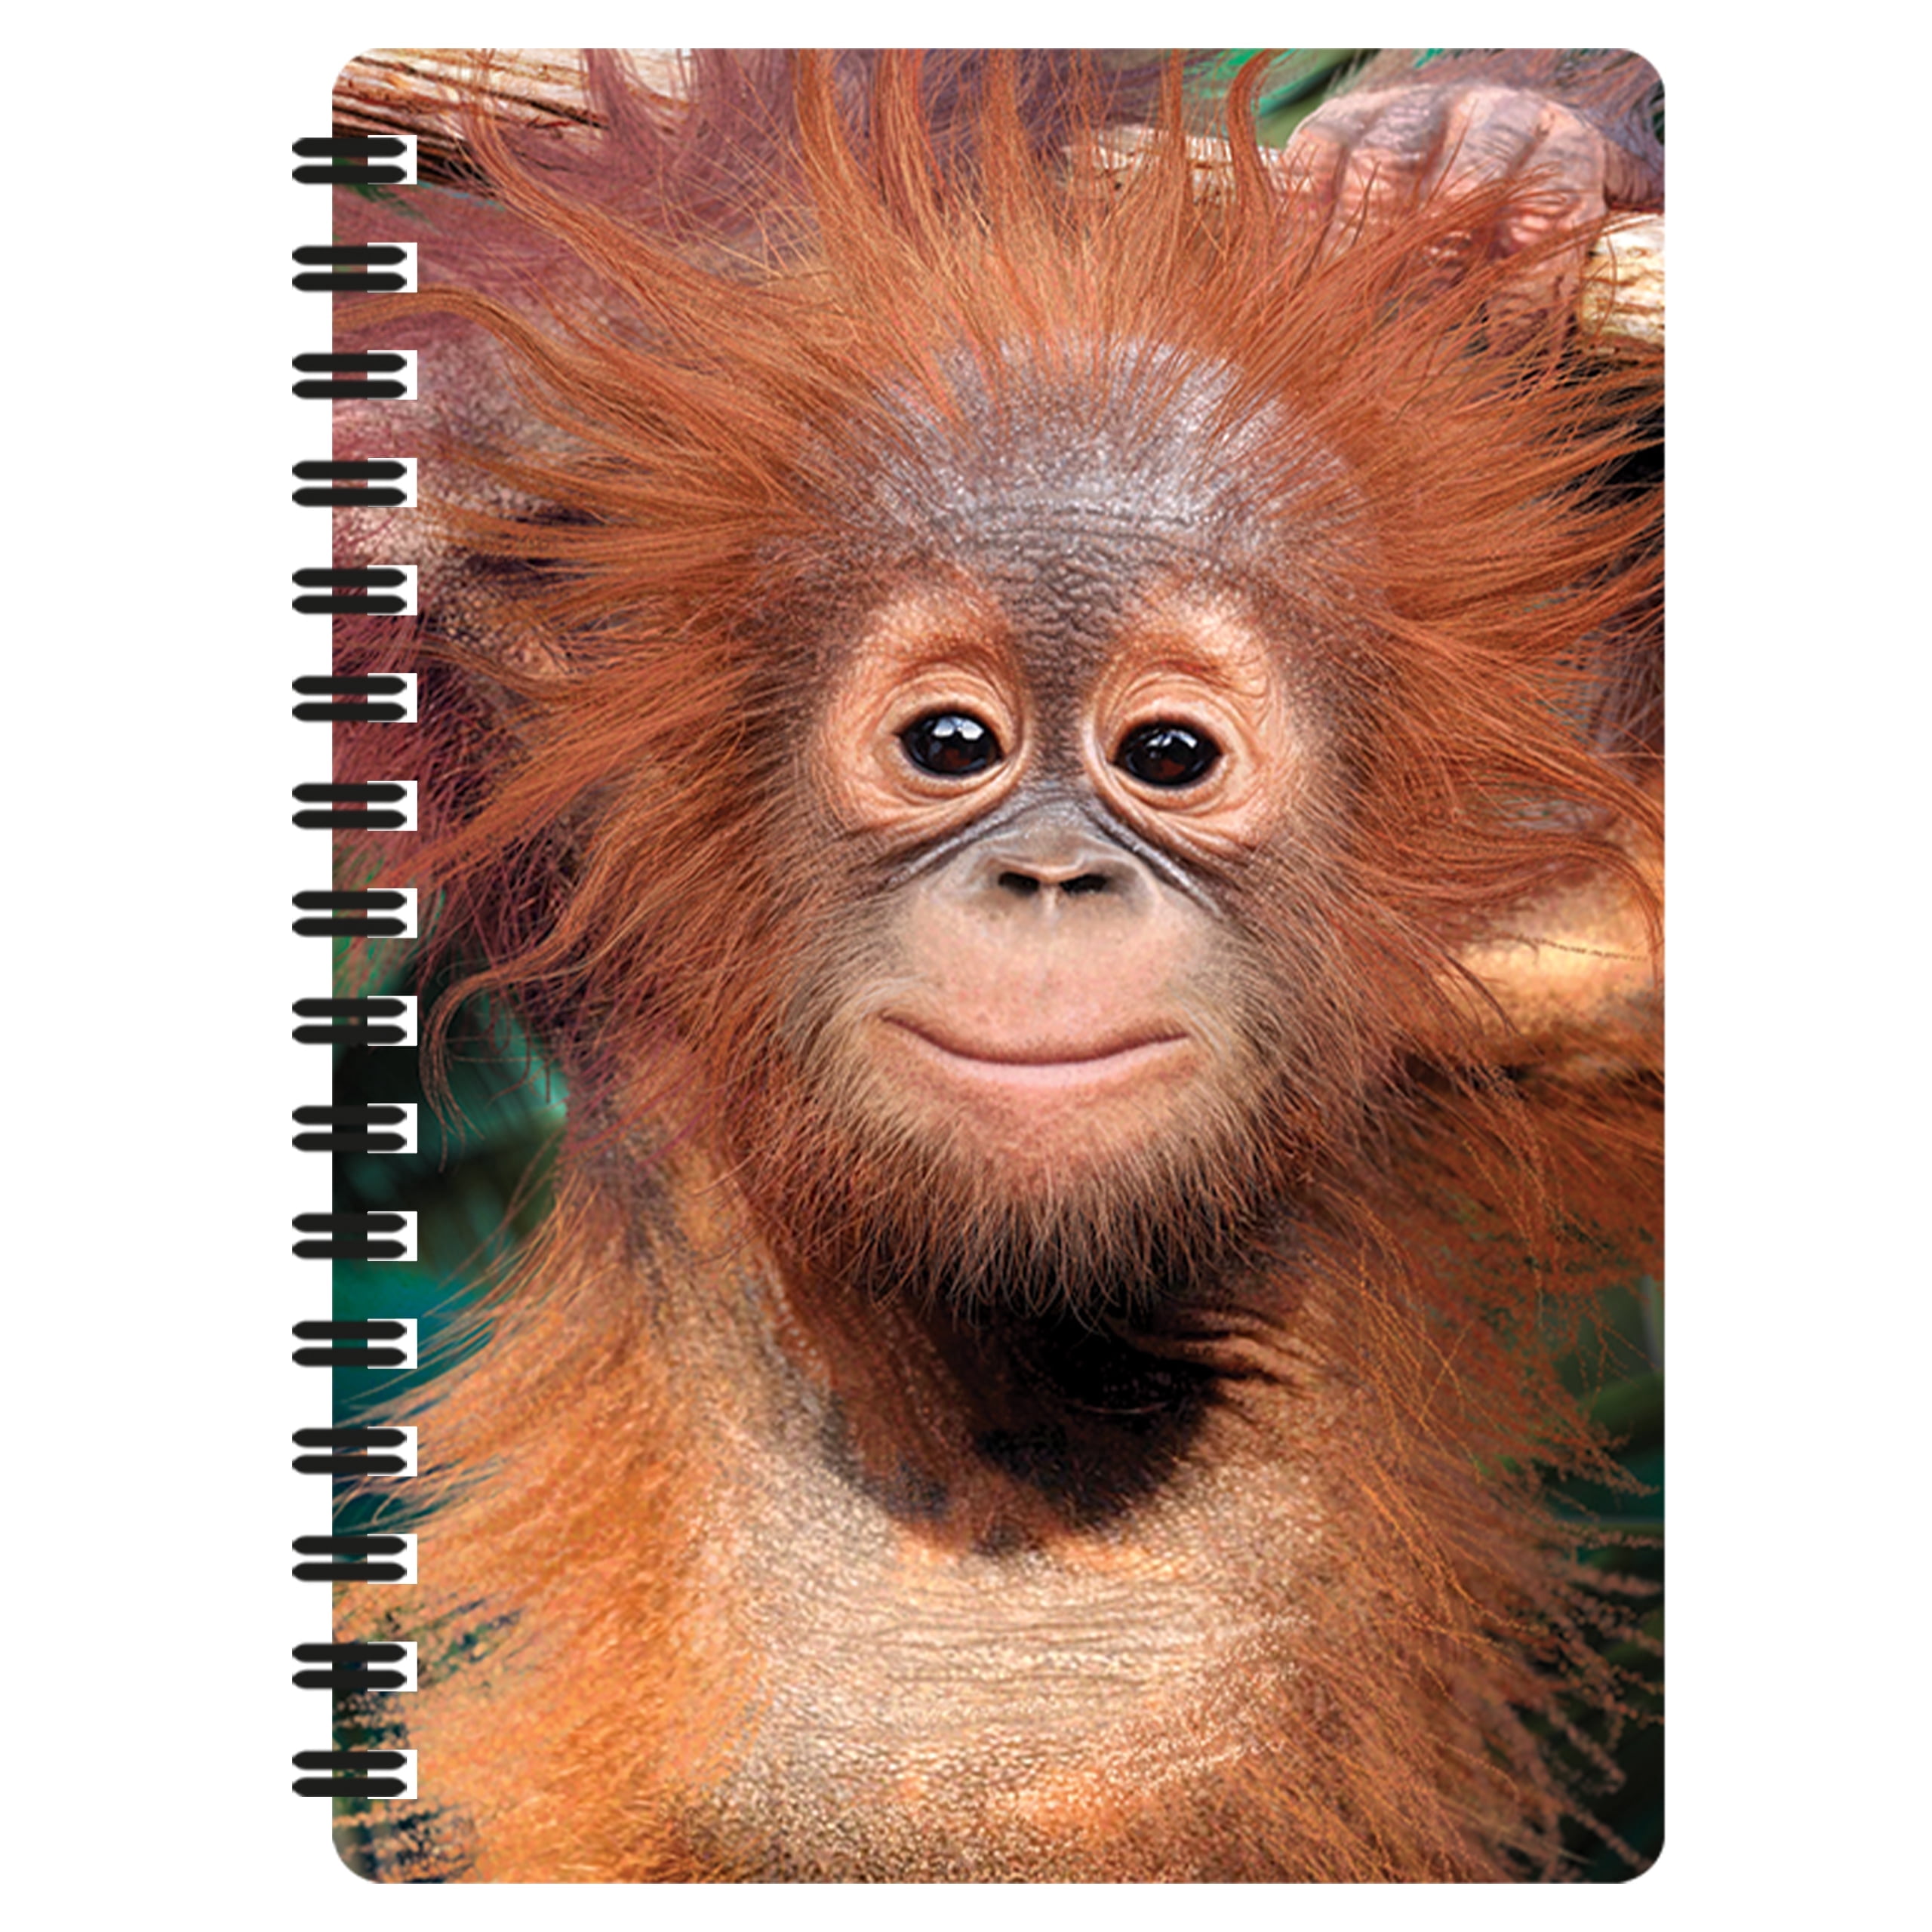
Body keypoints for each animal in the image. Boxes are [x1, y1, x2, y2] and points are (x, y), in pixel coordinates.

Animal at [323, 50, 1663, 1882]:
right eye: (949, 743)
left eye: (1168, 754)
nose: (1046, 876)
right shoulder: (615, 873)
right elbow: (428, 463)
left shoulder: (1503, 977)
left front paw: (1481, 155)